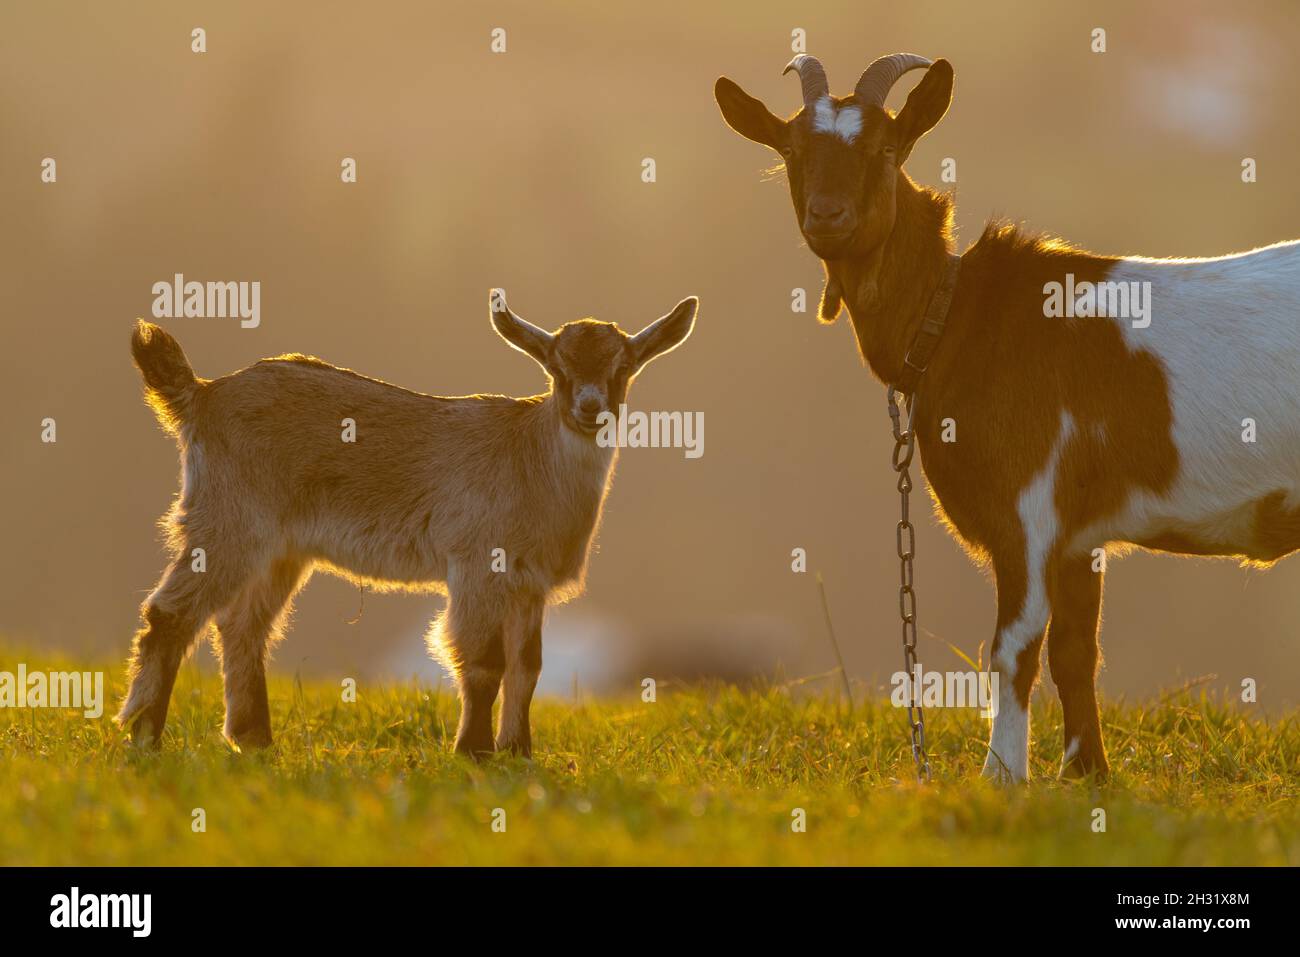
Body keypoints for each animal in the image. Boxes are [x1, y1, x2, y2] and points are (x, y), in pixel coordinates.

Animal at [117, 290, 698, 758]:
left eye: (623, 368)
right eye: (556, 368)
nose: (590, 408)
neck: (529, 457)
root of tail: (201, 395)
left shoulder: (528, 583)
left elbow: (528, 666)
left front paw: (519, 752)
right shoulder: (478, 564)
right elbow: (482, 662)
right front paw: (474, 752)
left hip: (280, 549)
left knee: (242, 625)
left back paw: (254, 739)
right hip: (227, 520)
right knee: (170, 614)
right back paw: (144, 736)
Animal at [716, 52, 1300, 781]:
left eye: (885, 148)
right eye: (792, 149)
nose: (828, 214)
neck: (956, 318)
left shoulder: (1028, 509)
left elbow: (1011, 646)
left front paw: (1001, 776)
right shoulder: (1079, 536)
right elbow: (1075, 652)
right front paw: (1085, 775)